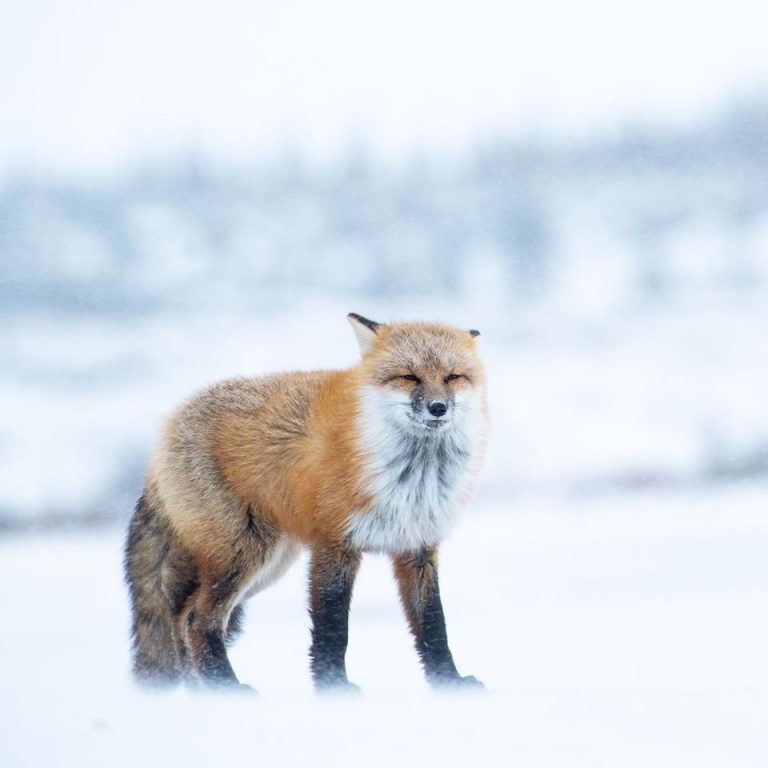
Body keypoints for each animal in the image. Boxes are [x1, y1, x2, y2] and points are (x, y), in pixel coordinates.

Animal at [124, 313, 488, 692]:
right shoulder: (333, 542)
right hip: (243, 555)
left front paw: (449, 682)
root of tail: (168, 426)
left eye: (453, 377)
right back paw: (226, 687)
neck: (413, 477)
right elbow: (333, 627)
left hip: (269, 565)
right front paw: (334, 687)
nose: (438, 408)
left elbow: (434, 625)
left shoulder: (418, 545)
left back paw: (202, 692)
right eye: (409, 376)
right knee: (197, 618)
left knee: (184, 619)